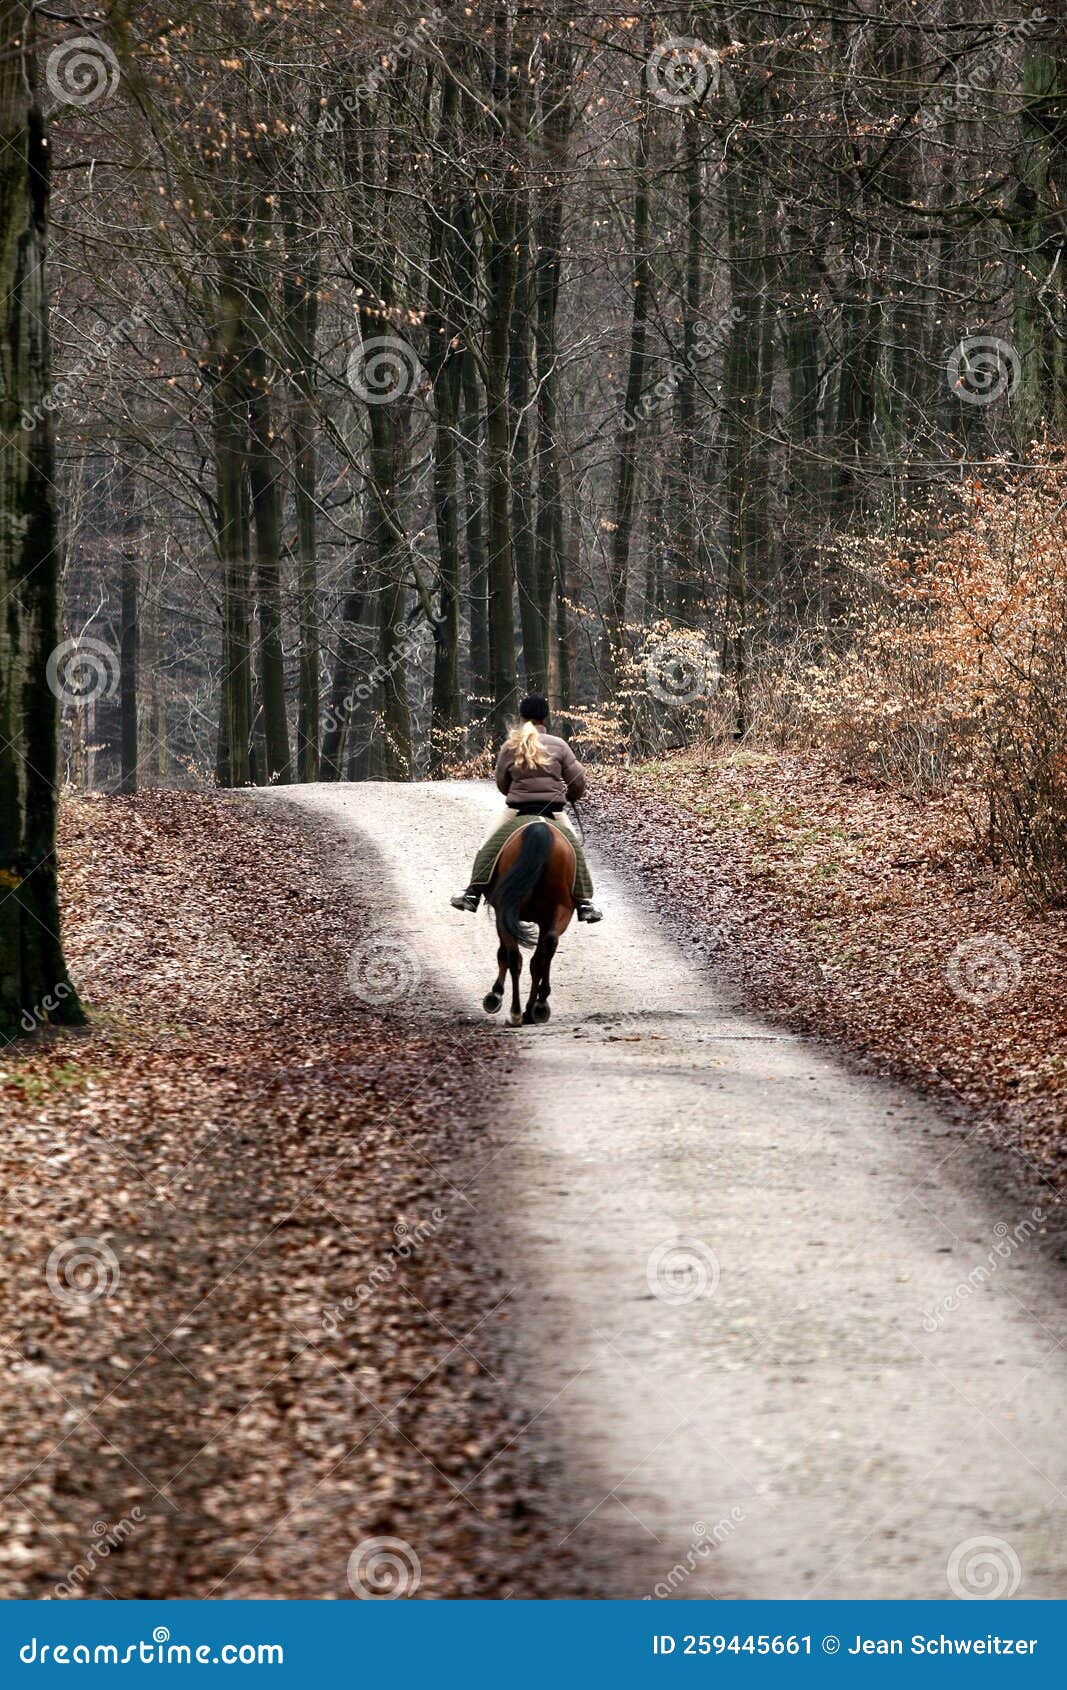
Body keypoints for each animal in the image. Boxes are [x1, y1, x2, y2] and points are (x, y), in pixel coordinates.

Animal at [481, 821, 575, 1026]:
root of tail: (540, 830)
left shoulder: (502, 913)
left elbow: (503, 954)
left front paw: (495, 995)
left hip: (507, 910)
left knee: (515, 957)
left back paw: (515, 1013)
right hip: (561, 910)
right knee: (546, 949)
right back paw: (538, 1007)